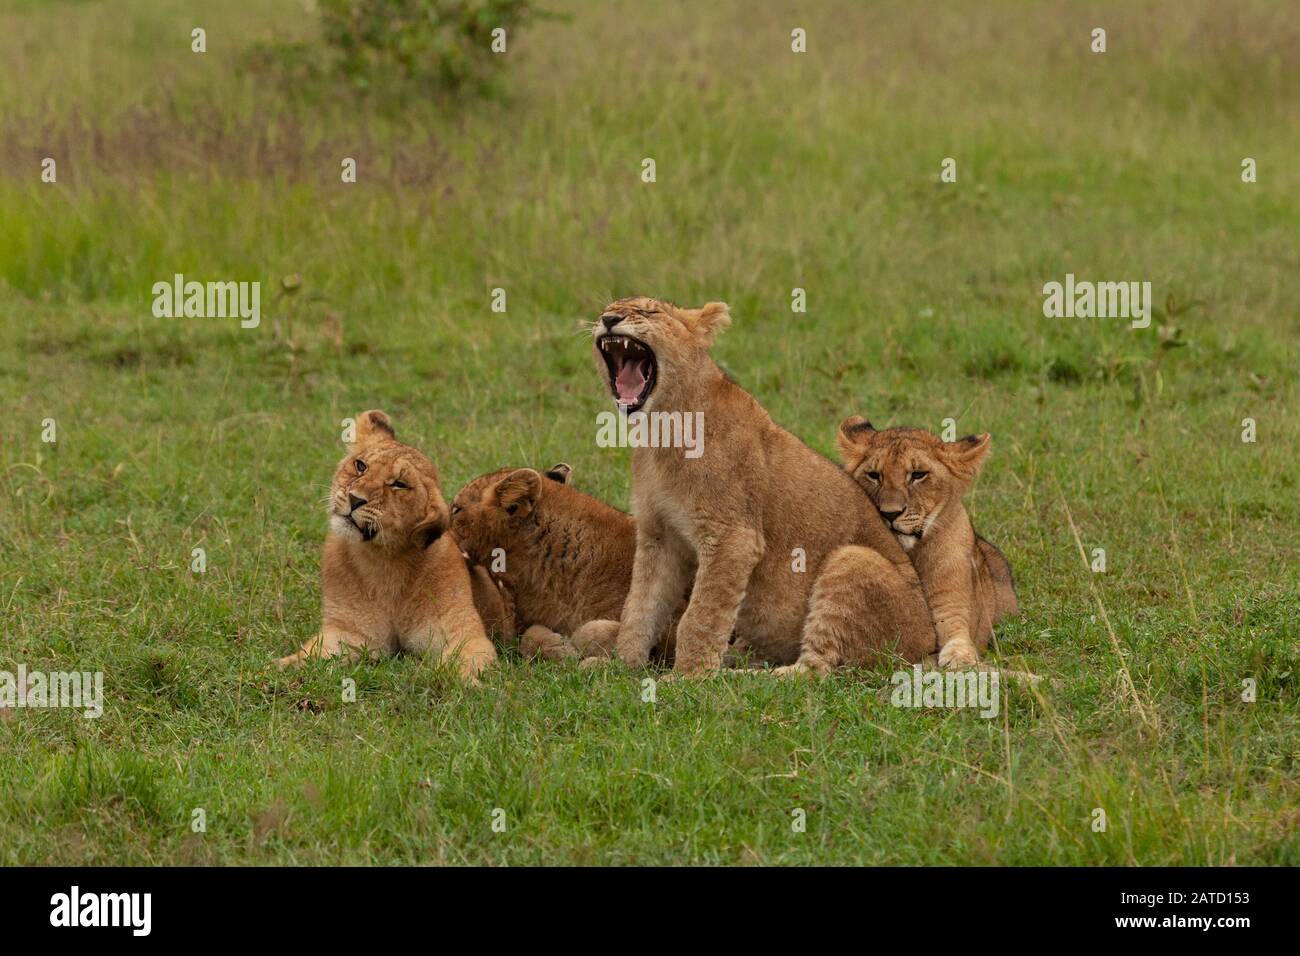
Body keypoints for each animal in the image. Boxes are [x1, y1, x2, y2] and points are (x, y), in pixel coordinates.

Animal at [276, 409, 497, 684]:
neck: (384, 560)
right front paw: (278, 668)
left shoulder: (463, 632)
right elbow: (311, 655)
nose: (355, 499)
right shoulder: (350, 634)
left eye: (399, 484)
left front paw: (455, 680)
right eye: (361, 465)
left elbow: (463, 659)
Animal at [591, 296, 936, 676]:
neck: (659, 428)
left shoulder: (733, 536)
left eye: (650, 312)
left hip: (853, 560)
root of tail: (928, 642)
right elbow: (640, 606)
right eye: (606, 308)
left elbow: (700, 616)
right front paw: (621, 666)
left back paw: (746, 675)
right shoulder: (658, 534)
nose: (609, 319)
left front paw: (688, 677)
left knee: (813, 670)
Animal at [836, 417, 1019, 668]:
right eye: (874, 475)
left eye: (918, 475)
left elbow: (956, 636)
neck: (912, 553)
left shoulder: (952, 607)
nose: (890, 514)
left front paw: (959, 658)